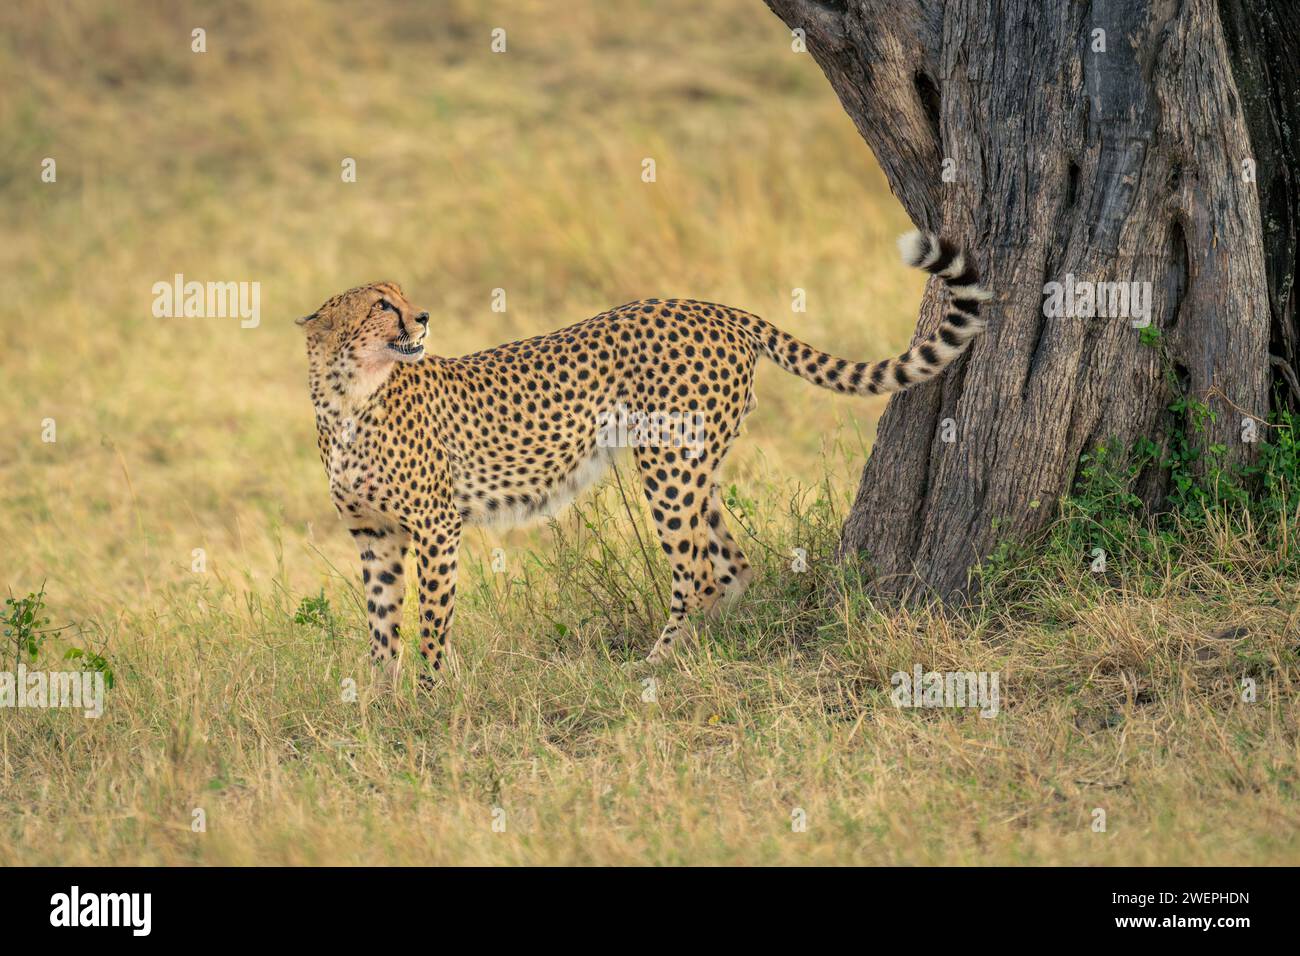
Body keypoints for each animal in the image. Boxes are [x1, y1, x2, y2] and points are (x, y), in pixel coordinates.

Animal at [297, 230, 990, 688]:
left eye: (401, 295)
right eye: (380, 303)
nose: (422, 316)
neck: (348, 396)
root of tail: (713, 306)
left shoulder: (436, 525)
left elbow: (432, 617)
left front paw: (431, 694)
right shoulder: (374, 533)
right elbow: (381, 620)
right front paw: (380, 700)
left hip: (668, 464)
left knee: (701, 570)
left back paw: (658, 664)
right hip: (696, 466)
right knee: (733, 564)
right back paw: (708, 649)